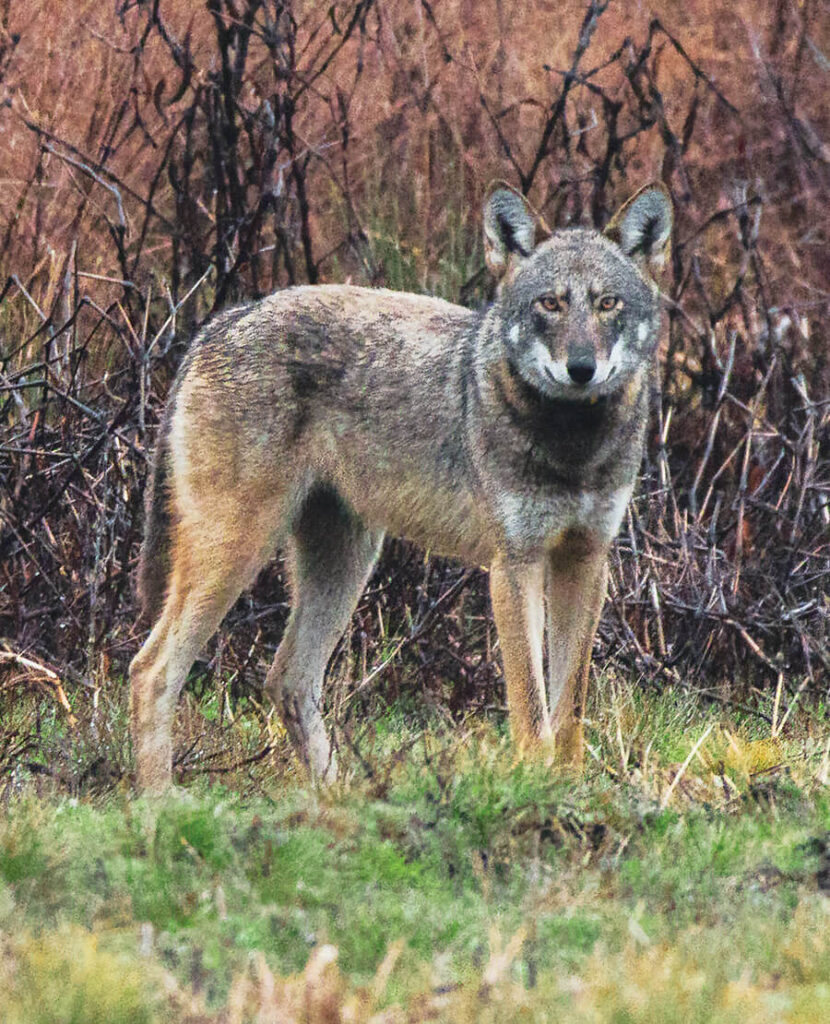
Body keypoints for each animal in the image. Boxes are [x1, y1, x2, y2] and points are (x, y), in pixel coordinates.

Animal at [129, 183, 672, 791]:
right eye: (550, 304)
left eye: (608, 304)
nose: (582, 368)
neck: (573, 446)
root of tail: (217, 324)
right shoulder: (514, 566)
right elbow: (533, 714)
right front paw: (535, 789)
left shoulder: (586, 559)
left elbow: (570, 711)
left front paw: (570, 789)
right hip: (236, 554)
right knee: (152, 671)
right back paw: (161, 802)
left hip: (345, 564)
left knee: (287, 680)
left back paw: (340, 799)